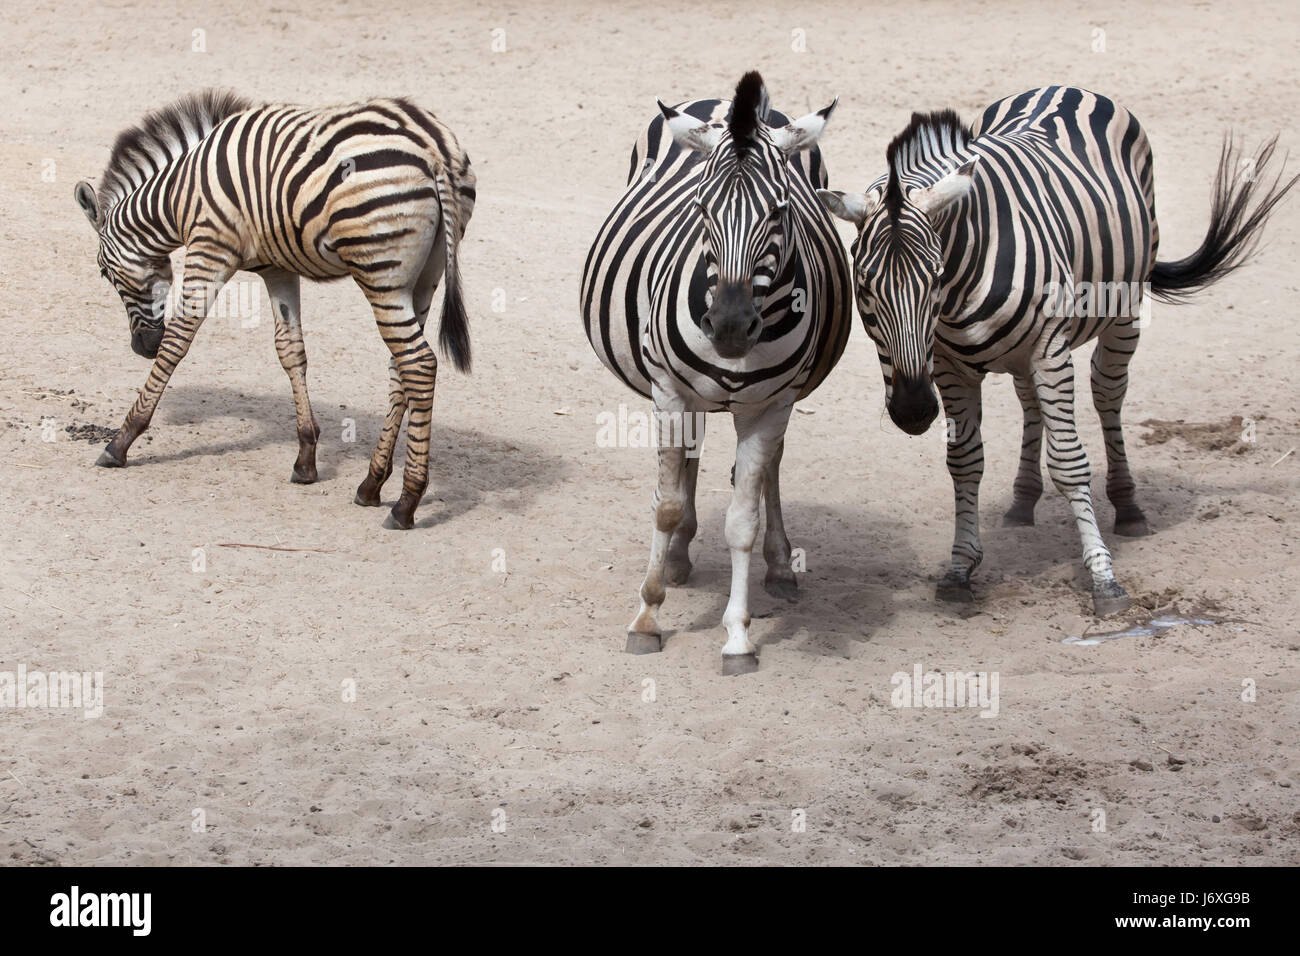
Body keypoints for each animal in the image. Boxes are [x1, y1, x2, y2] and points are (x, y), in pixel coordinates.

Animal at [73, 90, 476, 530]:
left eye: (102, 272)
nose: (142, 347)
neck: (179, 194)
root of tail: (433, 145)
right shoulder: (278, 269)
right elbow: (291, 351)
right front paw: (306, 458)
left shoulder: (210, 247)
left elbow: (179, 340)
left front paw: (121, 441)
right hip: (423, 277)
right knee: (400, 367)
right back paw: (371, 484)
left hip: (380, 272)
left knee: (419, 364)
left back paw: (406, 503)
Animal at [581, 72, 852, 674]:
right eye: (702, 209)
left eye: (780, 212)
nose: (728, 327)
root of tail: (724, 101)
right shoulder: (669, 392)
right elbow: (665, 506)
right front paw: (647, 616)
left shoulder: (771, 405)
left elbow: (742, 521)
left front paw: (738, 636)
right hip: (681, 392)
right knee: (688, 460)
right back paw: (678, 557)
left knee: (768, 469)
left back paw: (778, 566)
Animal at [819, 86, 1296, 615]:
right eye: (864, 288)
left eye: (936, 279)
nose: (914, 411)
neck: (962, 279)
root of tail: (1063, 88)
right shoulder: (948, 365)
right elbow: (964, 461)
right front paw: (960, 568)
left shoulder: (1048, 348)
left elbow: (1069, 462)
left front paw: (1104, 579)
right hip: (1024, 354)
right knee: (1031, 404)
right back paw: (1023, 499)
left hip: (1123, 313)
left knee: (1108, 396)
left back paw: (1127, 506)